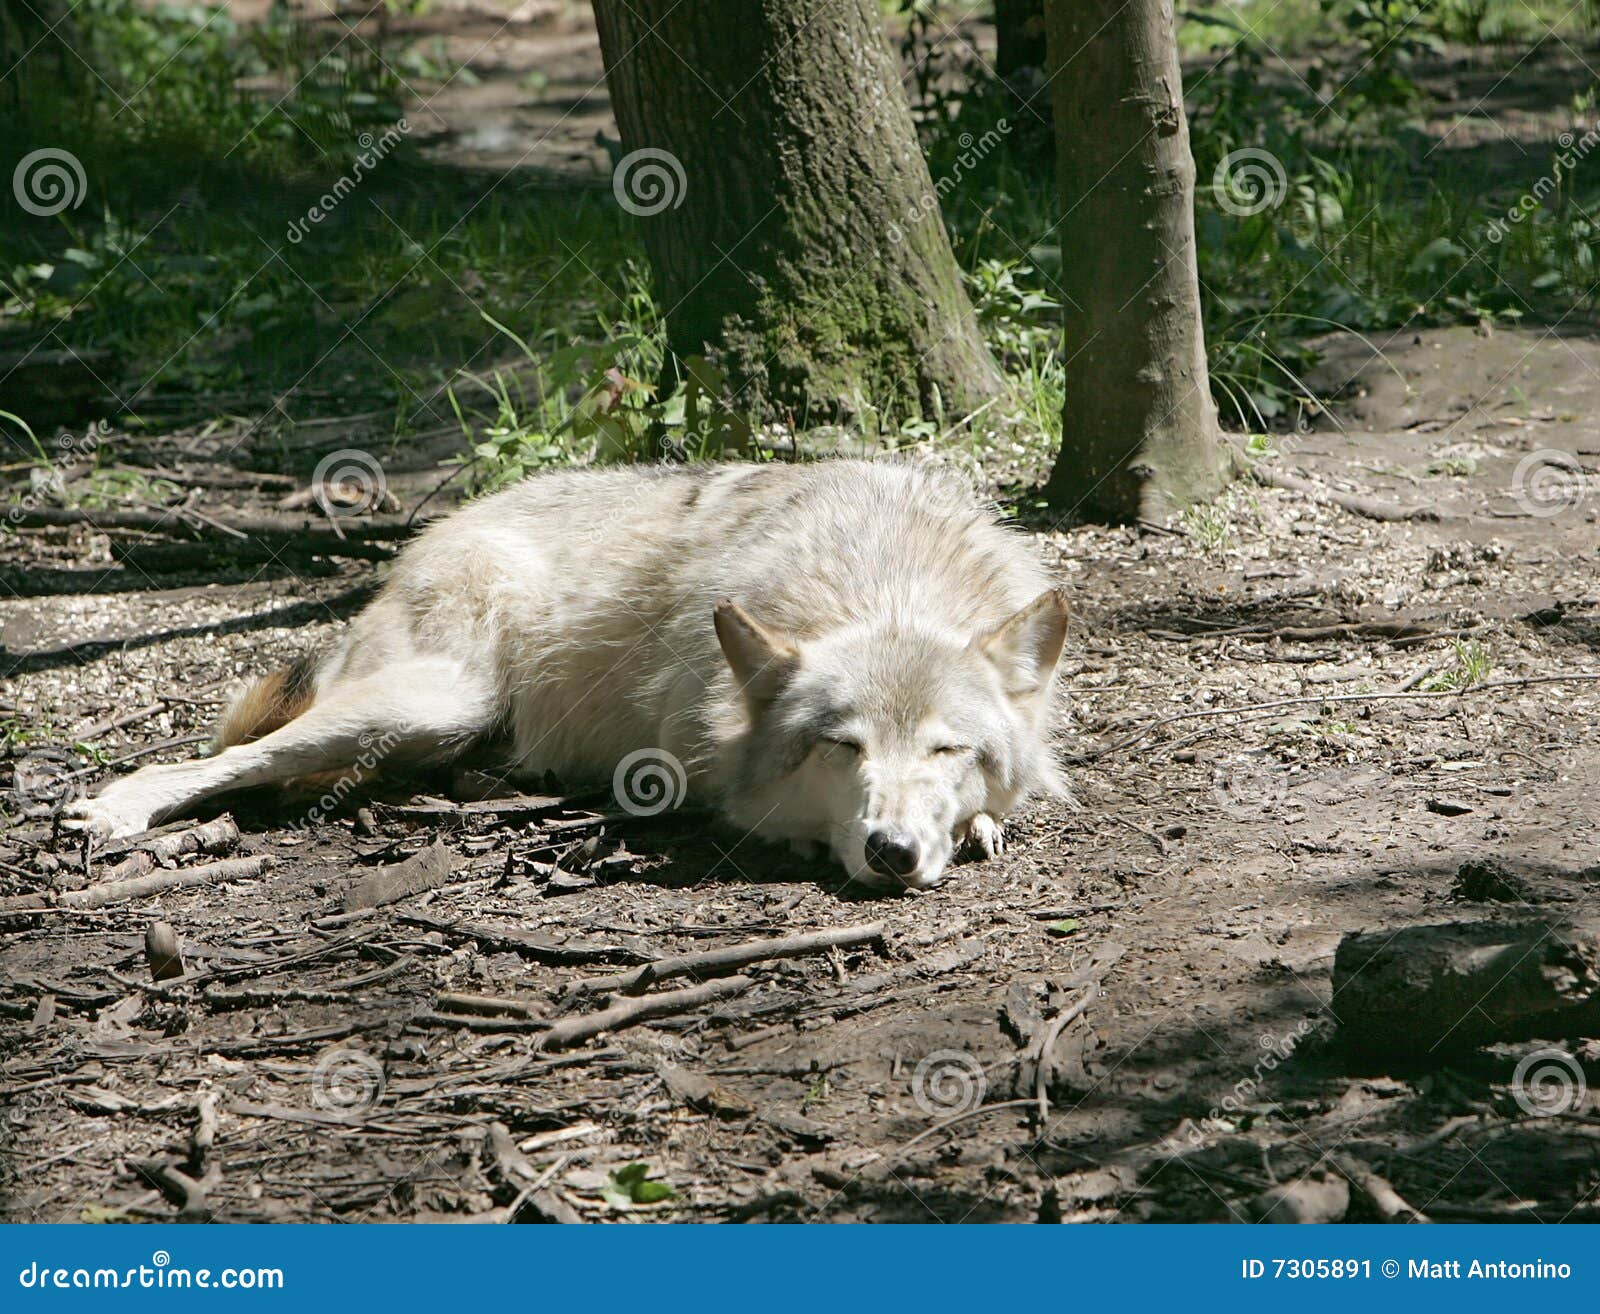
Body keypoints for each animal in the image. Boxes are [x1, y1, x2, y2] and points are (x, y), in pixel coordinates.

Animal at [64, 460, 1070, 889]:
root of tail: (429, 536)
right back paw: (116, 809)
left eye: (947, 750)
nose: (892, 852)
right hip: (431, 702)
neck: (881, 570)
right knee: (227, 758)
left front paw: (978, 825)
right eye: (840, 747)